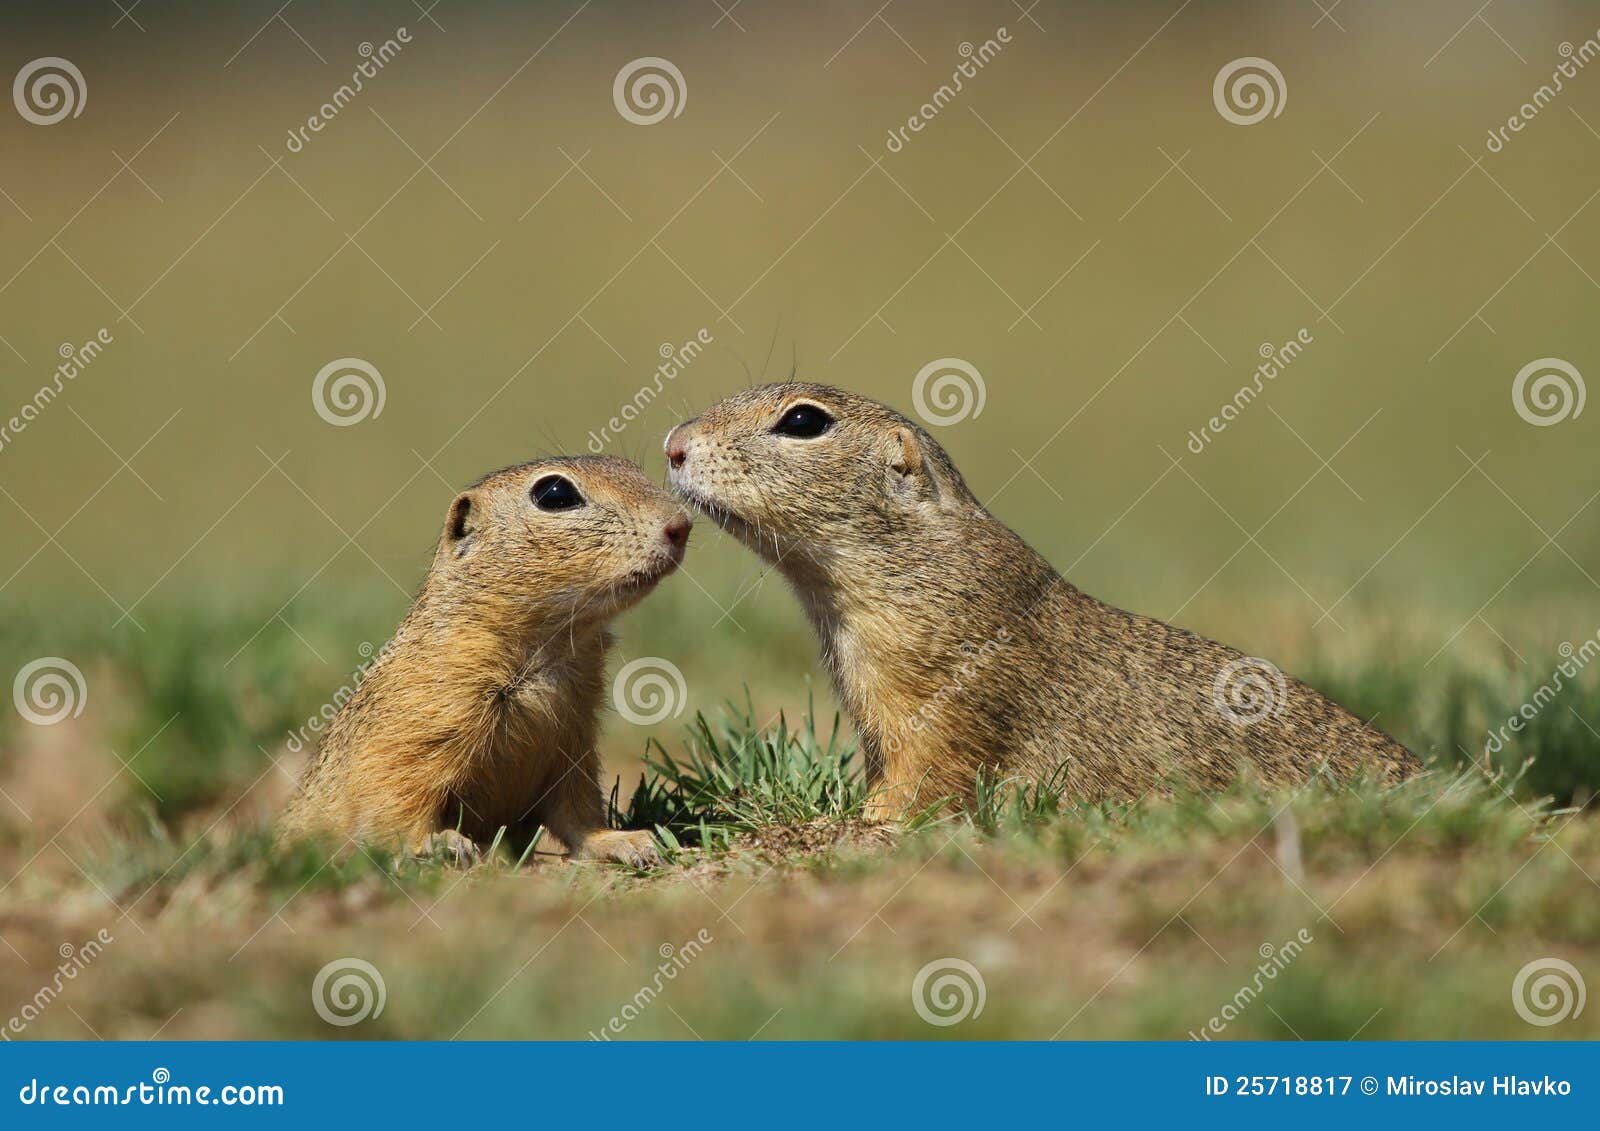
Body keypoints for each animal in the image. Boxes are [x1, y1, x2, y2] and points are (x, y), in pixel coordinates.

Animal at [280, 457, 691, 866]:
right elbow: (395, 800)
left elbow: (577, 815)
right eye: (555, 494)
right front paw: (441, 843)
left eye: (631, 467)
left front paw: (628, 841)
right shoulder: (413, 730)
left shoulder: (573, 745)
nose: (680, 524)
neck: (552, 647)